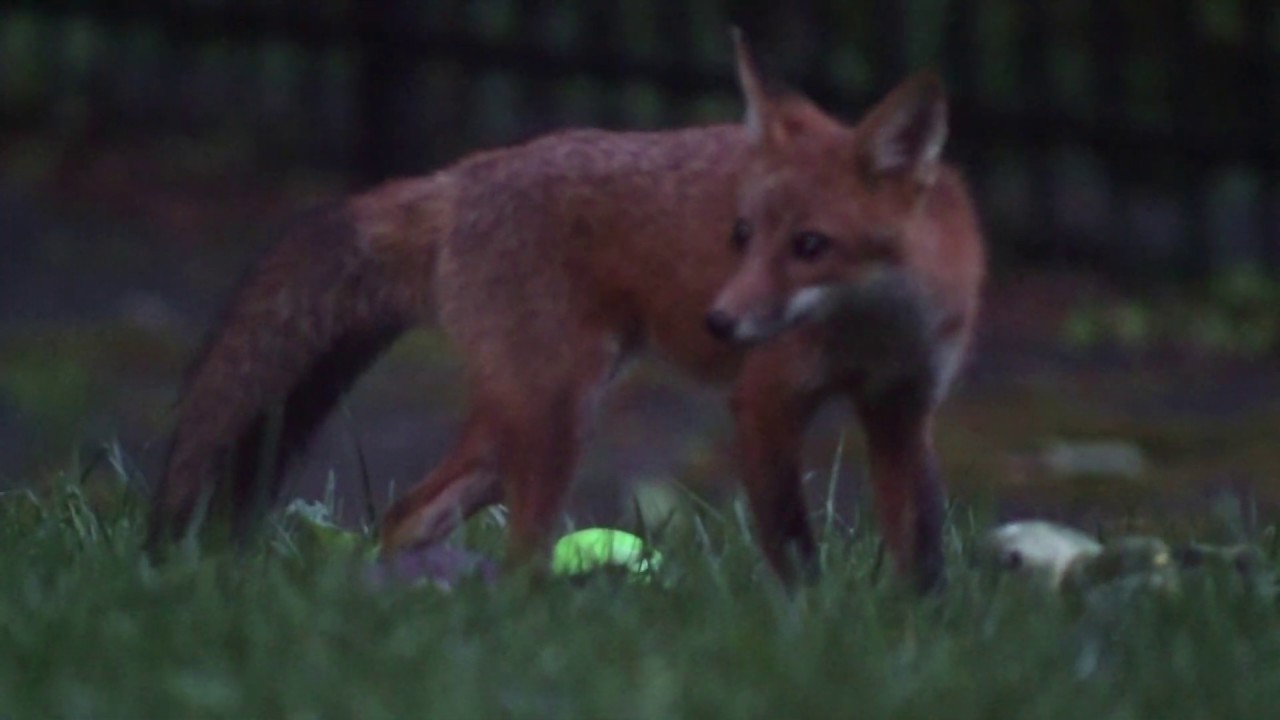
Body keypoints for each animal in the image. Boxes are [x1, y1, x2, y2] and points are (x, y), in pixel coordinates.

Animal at [148, 31, 984, 592]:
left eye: (810, 245)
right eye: (742, 236)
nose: (719, 323)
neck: (870, 334)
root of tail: (458, 179)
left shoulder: (902, 410)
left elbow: (924, 551)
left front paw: (916, 635)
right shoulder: (765, 404)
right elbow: (794, 550)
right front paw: (806, 627)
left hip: (516, 435)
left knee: (405, 518)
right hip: (556, 417)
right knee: (516, 553)